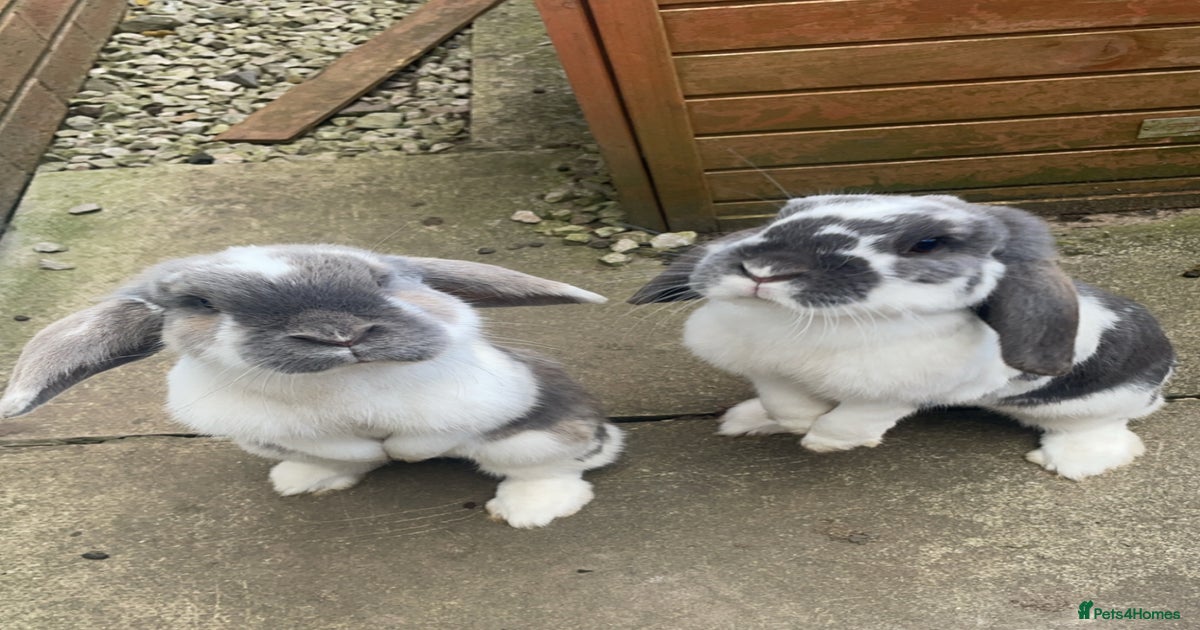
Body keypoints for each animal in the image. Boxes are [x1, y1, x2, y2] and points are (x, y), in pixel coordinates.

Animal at [0, 244, 623, 528]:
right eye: (201, 304)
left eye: (382, 281)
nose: (339, 333)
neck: (340, 381)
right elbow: (347, 445)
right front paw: (369, 454)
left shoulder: (479, 400)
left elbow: (424, 439)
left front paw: (401, 452)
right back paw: (307, 480)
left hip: (534, 440)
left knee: (548, 467)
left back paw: (531, 508)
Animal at [630, 194, 1175, 479]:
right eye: (784, 214)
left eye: (927, 244)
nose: (763, 269)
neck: (792, 322)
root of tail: (1162, 373)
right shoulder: (767, 370)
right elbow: (786, 401)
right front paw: (793, 421)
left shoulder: (899, 391)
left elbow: (854, 419)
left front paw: (824, 443)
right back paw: (747, 420)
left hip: (1092, 408)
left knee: (1103, 430)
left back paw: (1073, 462)